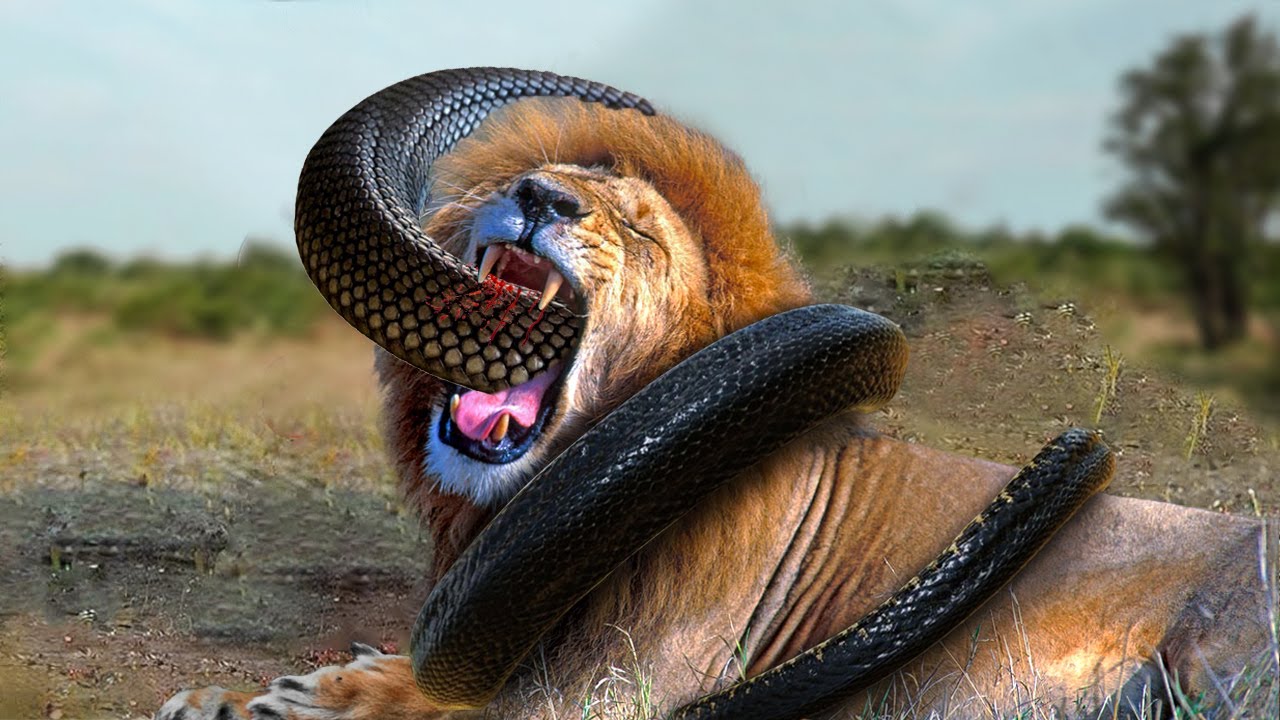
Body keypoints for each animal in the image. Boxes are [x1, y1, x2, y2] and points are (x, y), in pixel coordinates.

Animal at [159, 100, 1275, 720]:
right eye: (536, 181)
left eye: (641, 231)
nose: (540, 196)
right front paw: (239, 698)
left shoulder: (628, 687)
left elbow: (456, 710)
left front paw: (316, 699)